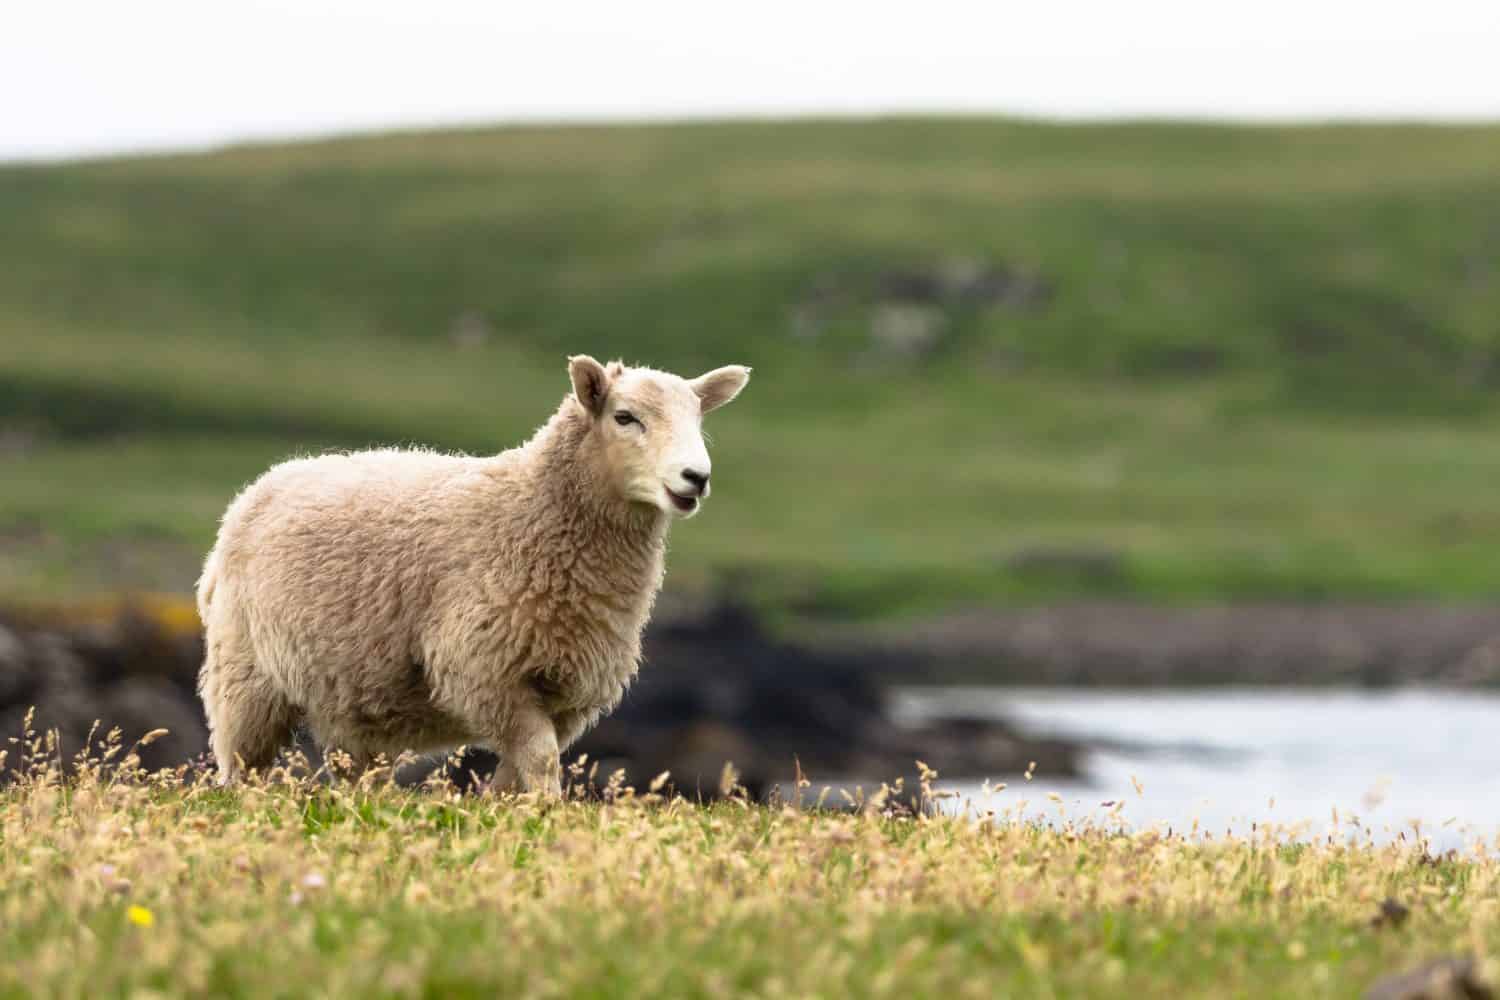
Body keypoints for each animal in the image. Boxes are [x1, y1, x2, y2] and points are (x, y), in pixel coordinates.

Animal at [195, 355, 750, 794]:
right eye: (625, 417)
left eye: (698, 419)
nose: (696, 478)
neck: (530, 512)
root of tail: (266, 481)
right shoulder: (485, 670)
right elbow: (541, 759)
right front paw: (548, 812)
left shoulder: (565, 691)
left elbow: (522, 767)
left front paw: (513, 811)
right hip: (245, 673)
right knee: (241, 765)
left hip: (348, 694)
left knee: (355, 771)